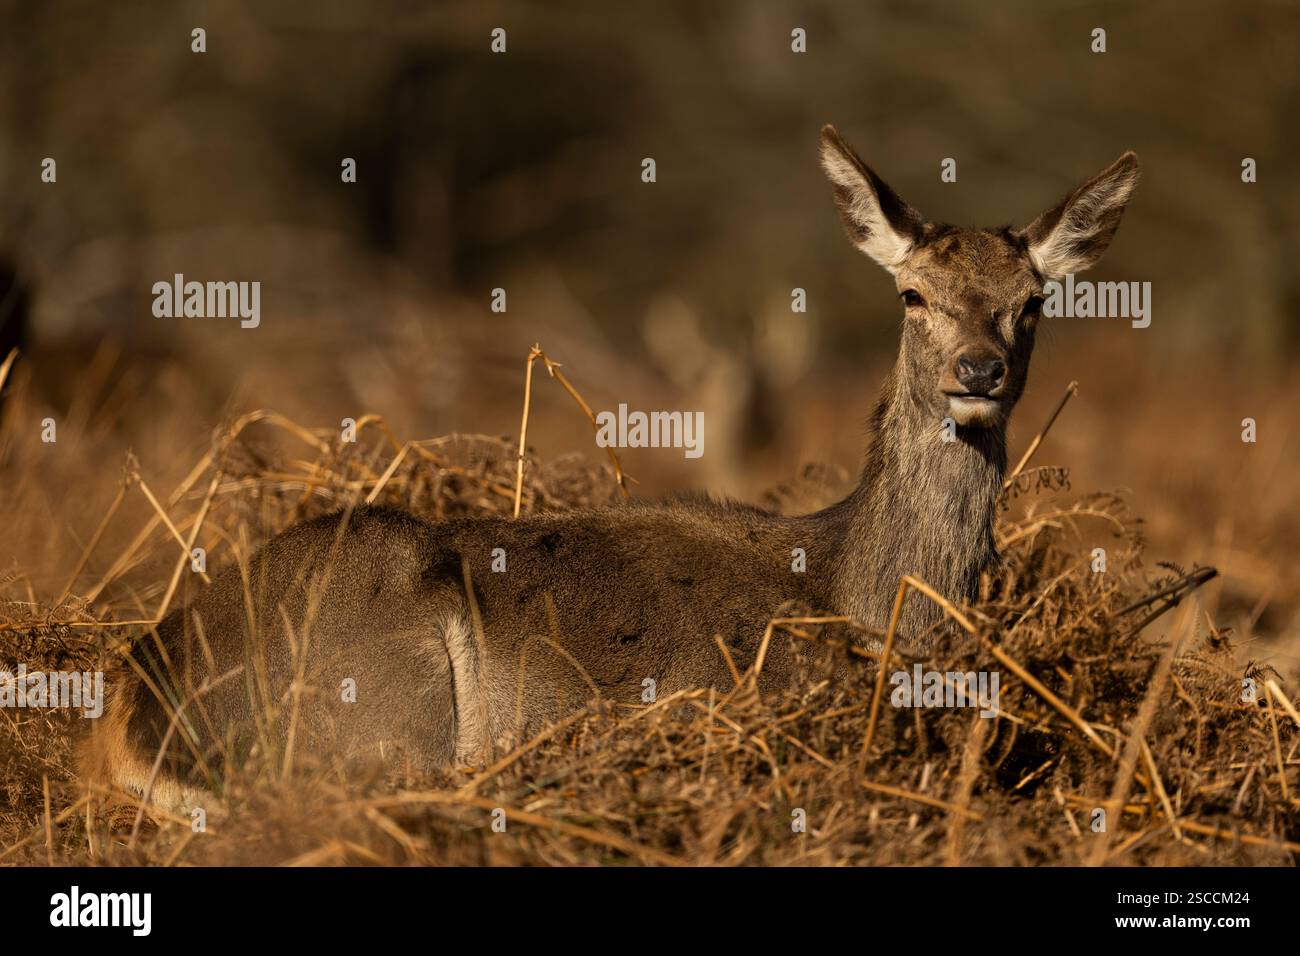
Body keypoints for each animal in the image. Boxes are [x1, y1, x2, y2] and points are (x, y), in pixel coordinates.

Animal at [85, 127, 1139, 809]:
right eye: (912, 294)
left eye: (1033, 300)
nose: (979, 370)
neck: (866, 601)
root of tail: (134, 709)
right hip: (376, 706)